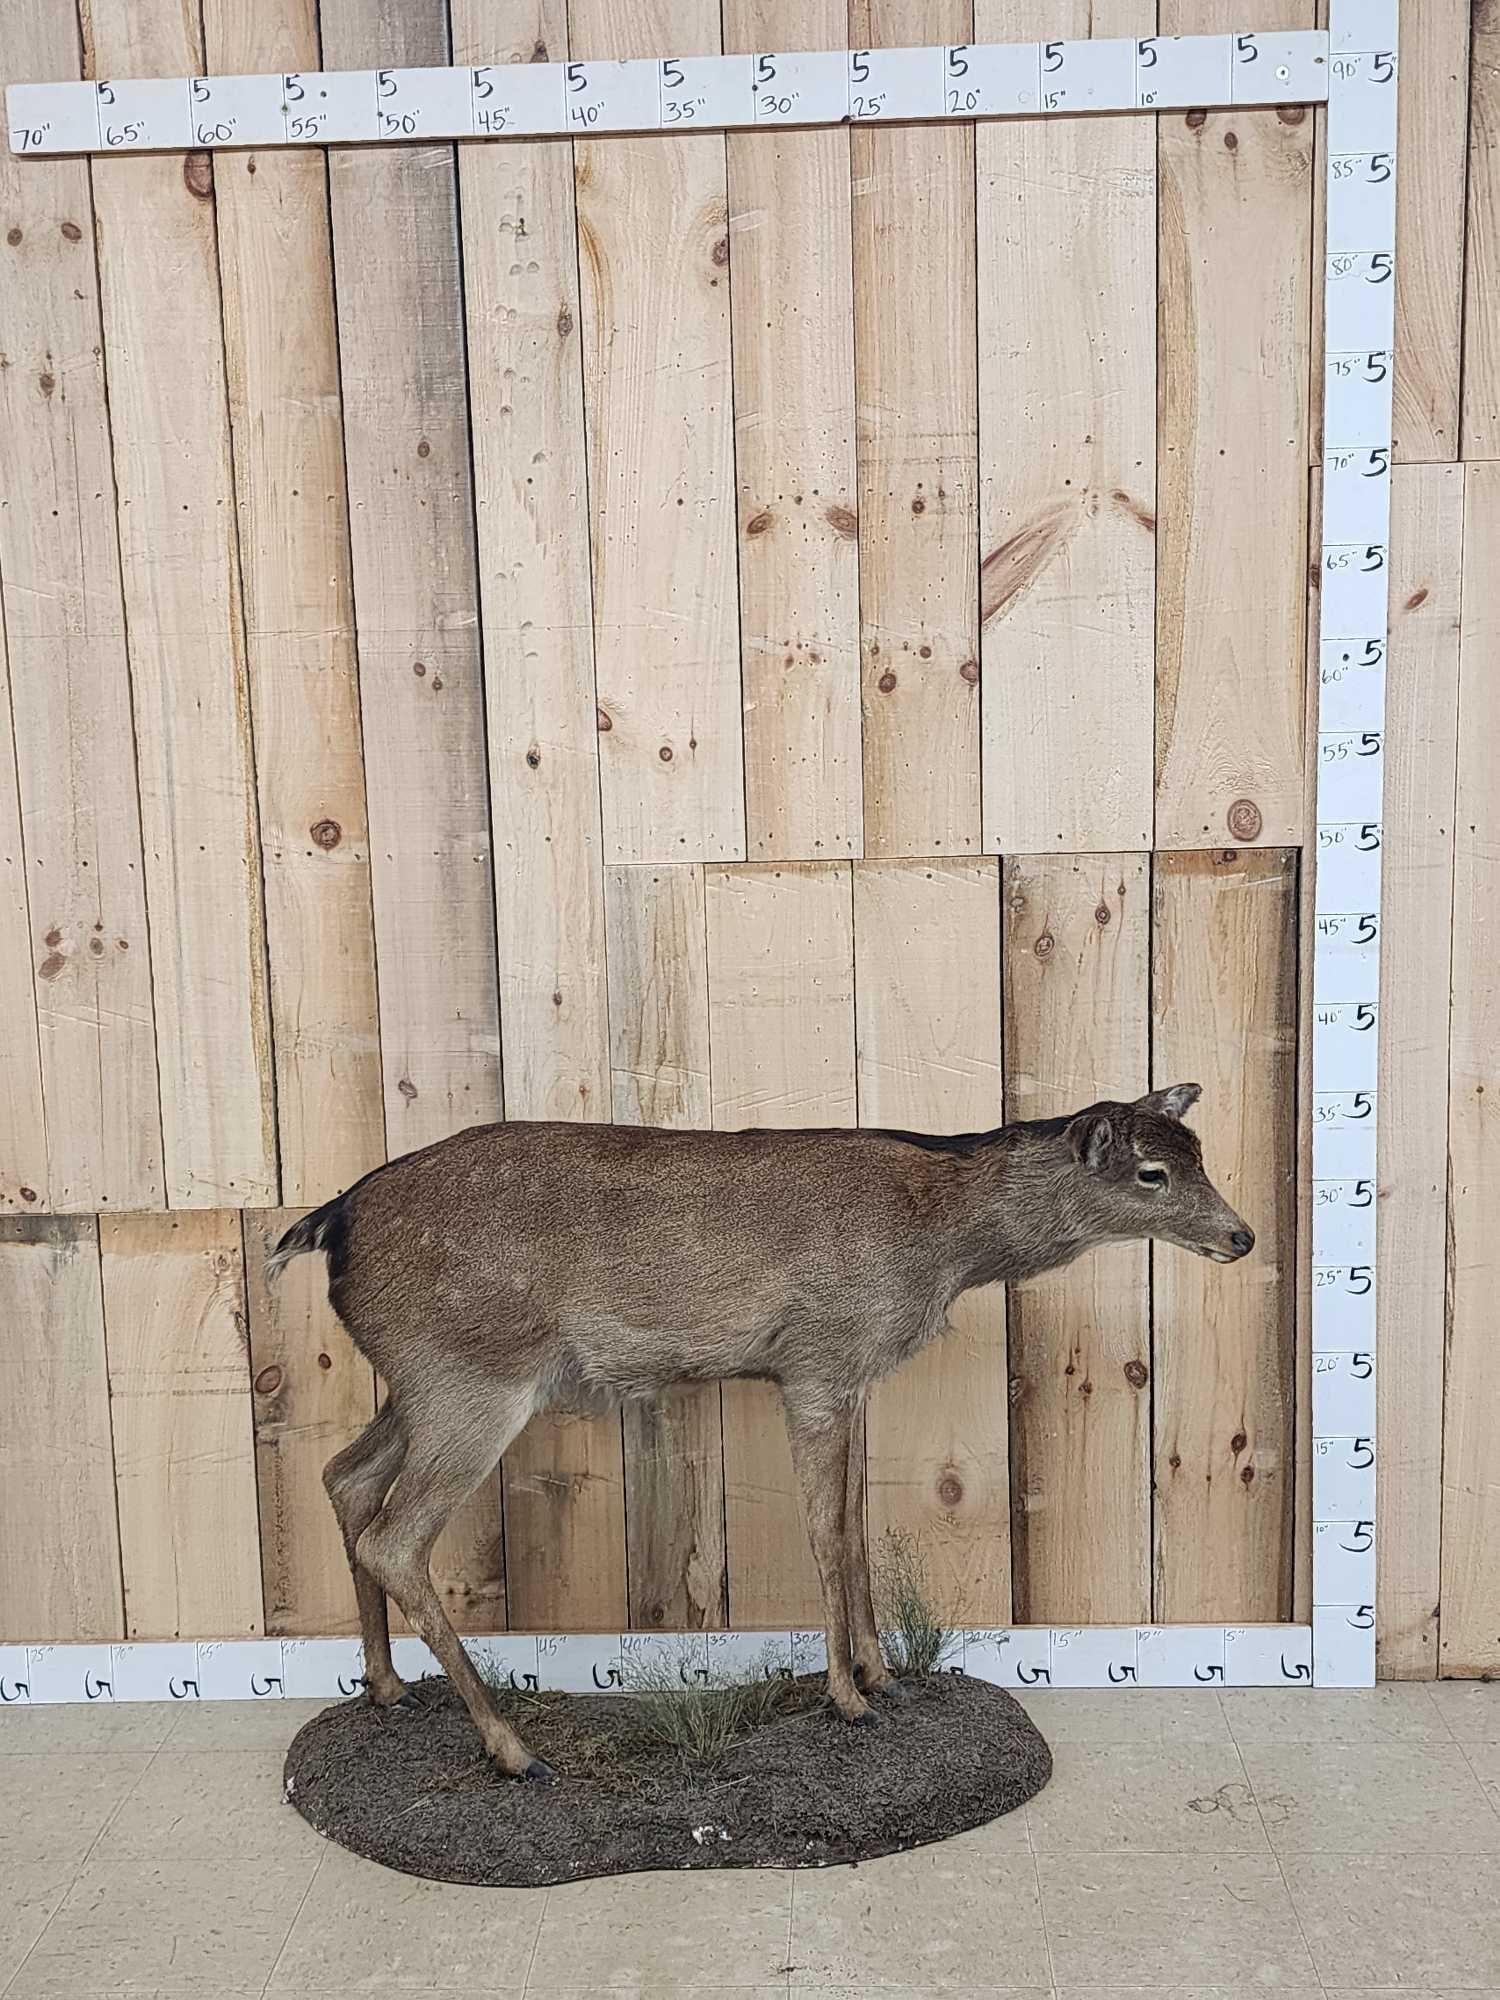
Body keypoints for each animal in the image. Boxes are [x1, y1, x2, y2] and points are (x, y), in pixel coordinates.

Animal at [268, 1082, 1252, 1781]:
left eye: (1200, 1155)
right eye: (1152, 1174)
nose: (1242, 1237)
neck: (941, 1248)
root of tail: (330, 1223)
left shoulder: (853, 1376)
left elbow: (854, 1522)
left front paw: (885, 1674)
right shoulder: (817, 1360)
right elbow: (824, 1531)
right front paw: (849, 1698)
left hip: (420, 1382)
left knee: (345, 1476)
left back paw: (388, 1688)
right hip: (471, 1377)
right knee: (394, 1535)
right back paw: (514, 1748)